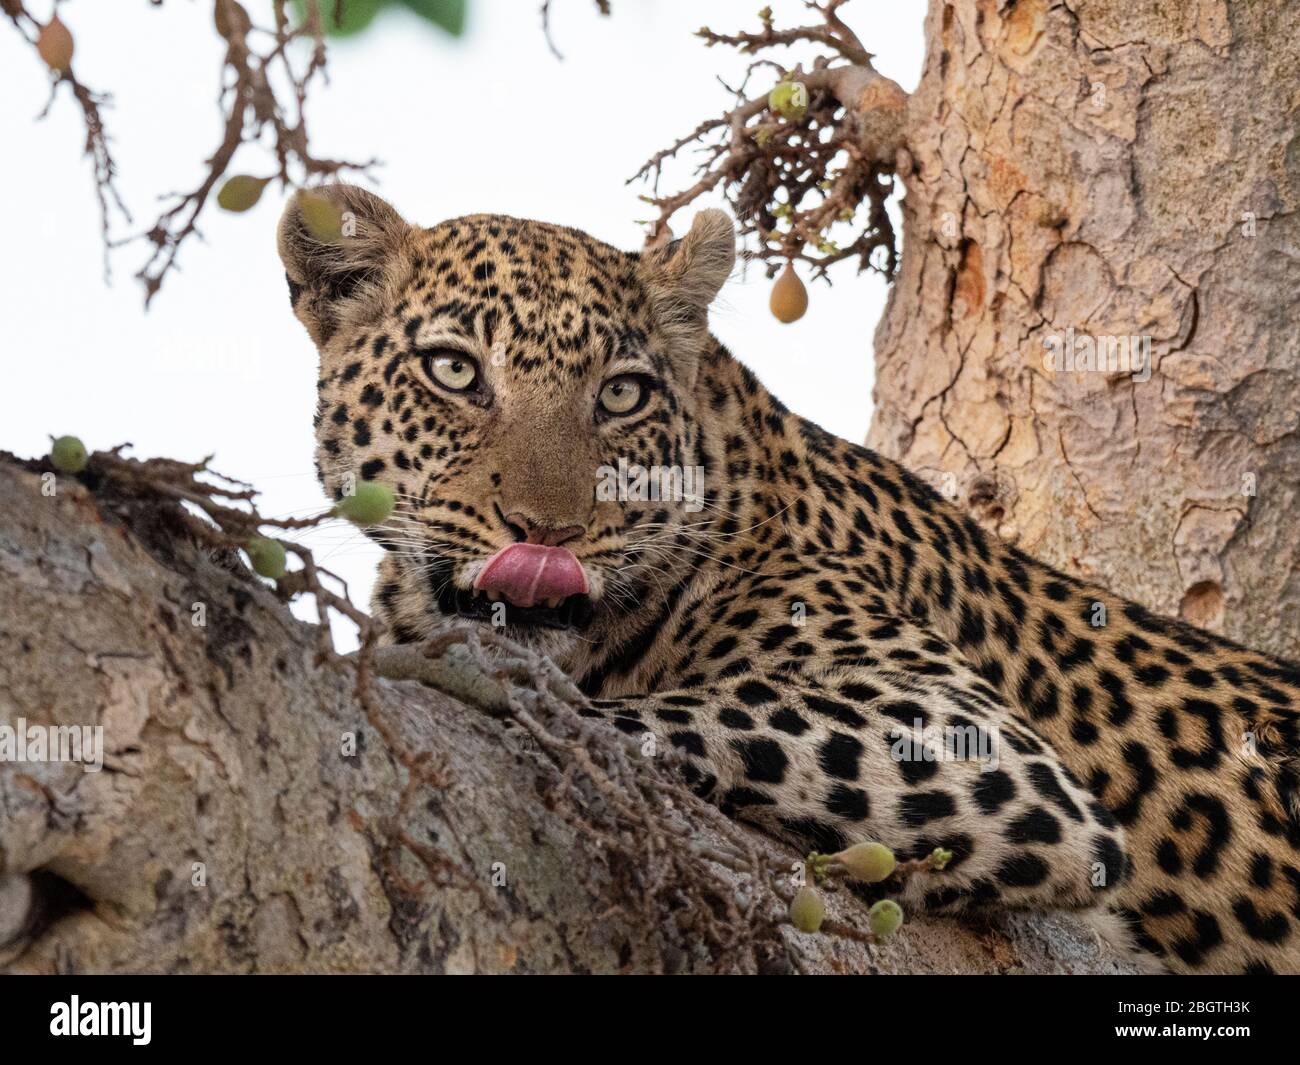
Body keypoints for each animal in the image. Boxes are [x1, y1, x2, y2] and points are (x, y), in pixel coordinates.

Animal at [277, 184, 1300, 975]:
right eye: (453, 371)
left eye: (621, 394)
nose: (548, 532)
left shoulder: (991, 746)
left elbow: (683, 711)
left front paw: (493, 682)